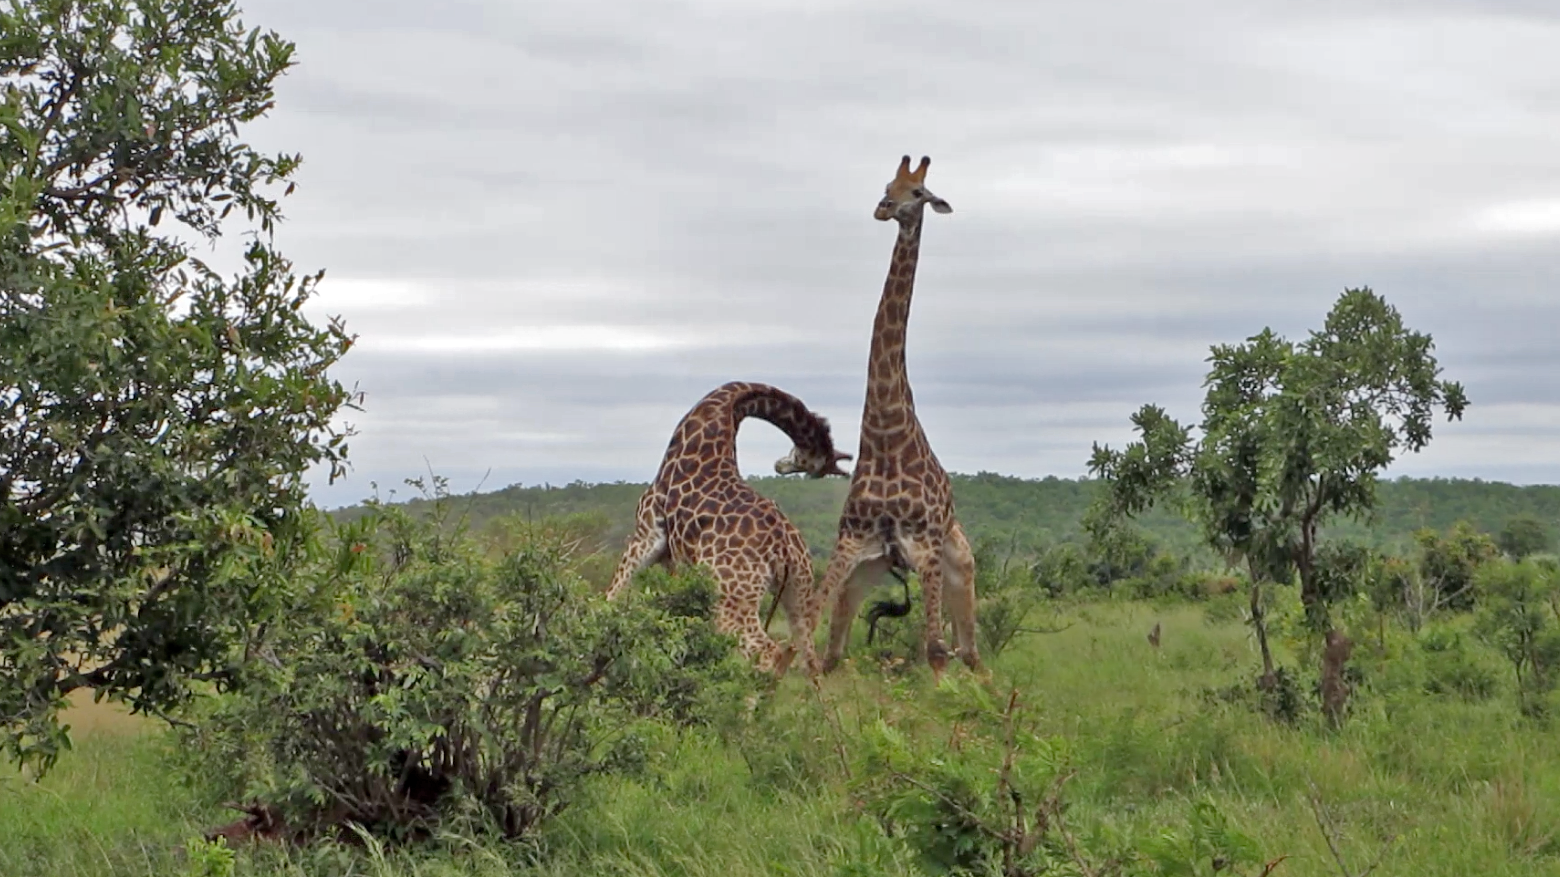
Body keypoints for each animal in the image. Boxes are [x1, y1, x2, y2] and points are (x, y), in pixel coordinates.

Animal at [605, 380, 850, 675]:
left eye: (805, 462)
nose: (780, 465)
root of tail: (786, 552)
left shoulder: (648, 532)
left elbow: (613, 594)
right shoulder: (674, 559)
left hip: (731, 599)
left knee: (767, 651)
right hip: (798, 593)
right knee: (805, 657)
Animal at [800, 155, 982, 681]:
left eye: (918, 193)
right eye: (887, 184)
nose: (884, 208)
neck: (884, 435)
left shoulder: (926, 548)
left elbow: (936, 653)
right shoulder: (850, 543)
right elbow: (810, 632)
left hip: (960, 571)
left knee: (970, 653)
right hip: (869, 573)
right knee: (837, 646)